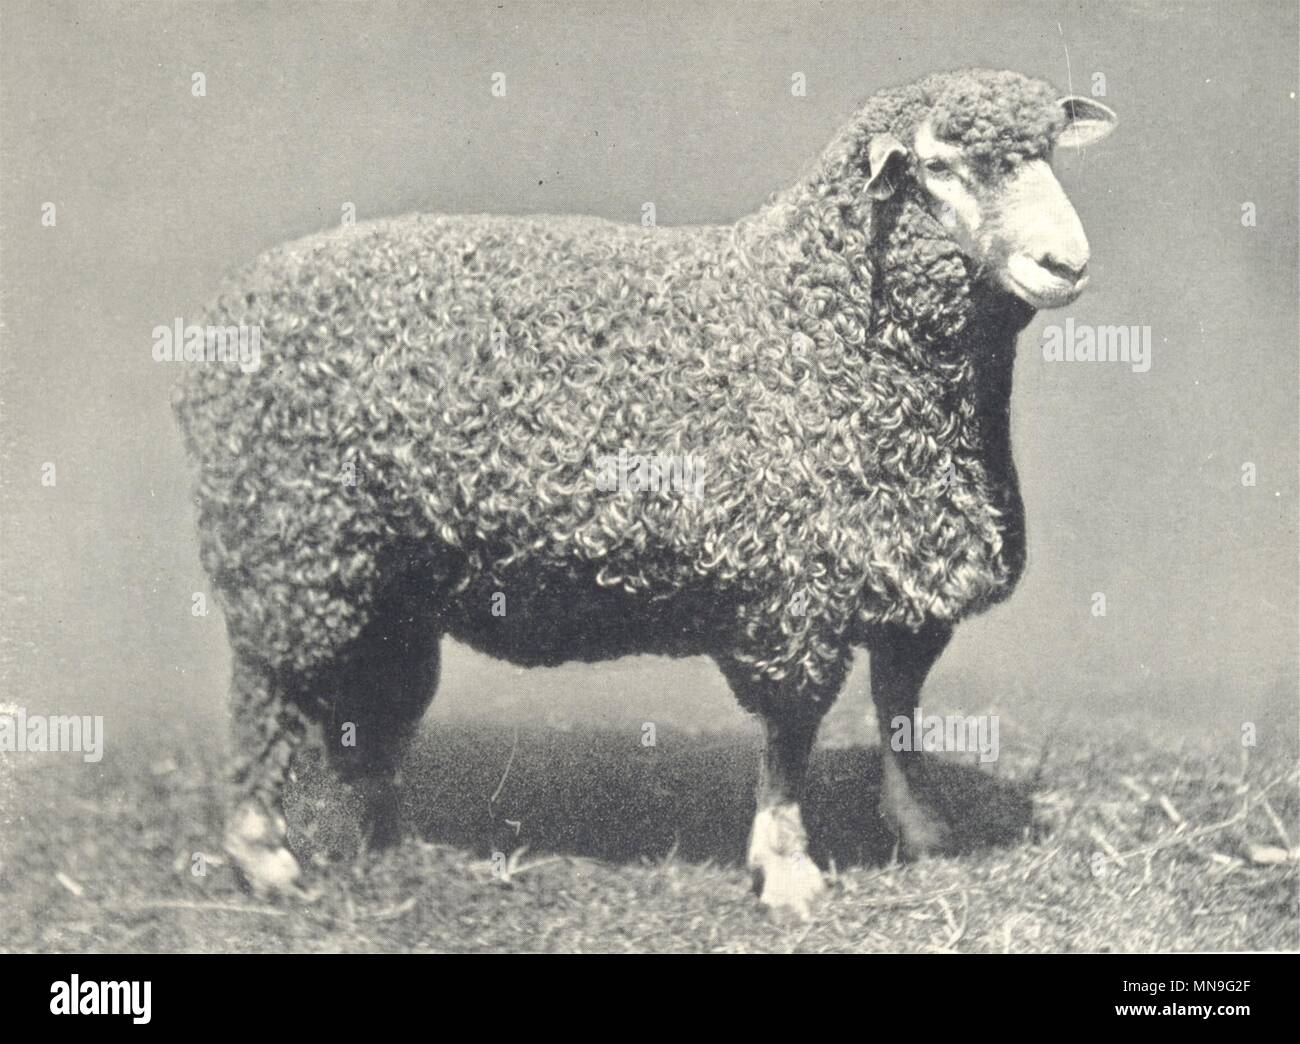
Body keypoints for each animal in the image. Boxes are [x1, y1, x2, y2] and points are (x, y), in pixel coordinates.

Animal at [174, 68, 1116, 918]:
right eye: (940, 166)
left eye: (1045, 153)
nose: (1065, 263)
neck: (811, 320)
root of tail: (224, 312)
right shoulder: (792, 596)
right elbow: (790, 740)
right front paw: (787, 871)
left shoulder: (908, 578)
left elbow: (899, 711)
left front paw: (919, 826)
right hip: (289, 544)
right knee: (266, 693)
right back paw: (266, 858)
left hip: (380, 579)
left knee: (366, 708)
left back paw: (373, 838)